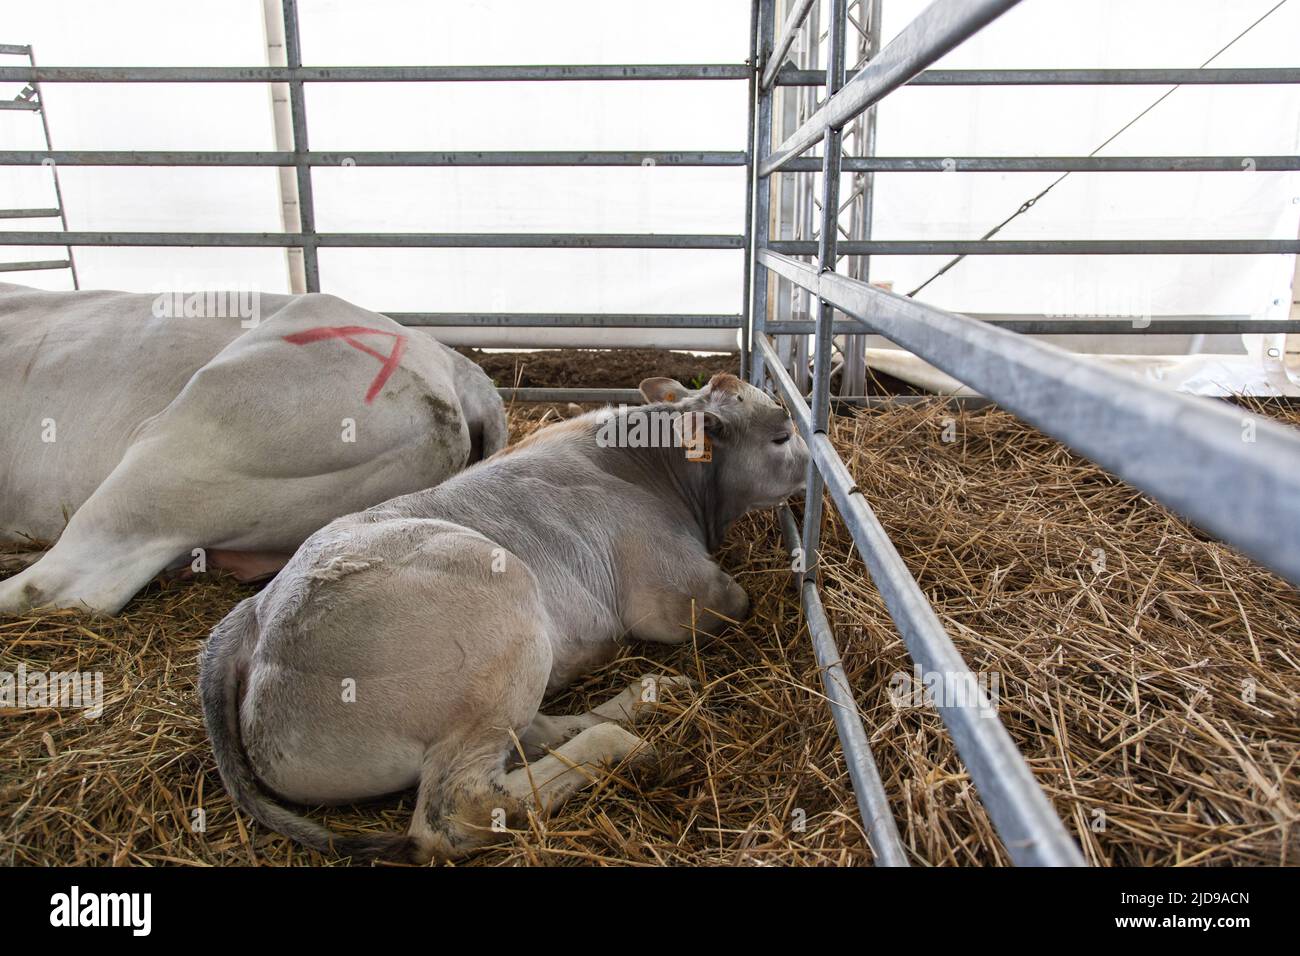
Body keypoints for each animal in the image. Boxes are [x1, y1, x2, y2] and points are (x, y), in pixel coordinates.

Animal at [198, 372, 809, 862]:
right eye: (781, 436)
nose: (814, 457)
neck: (655, 468)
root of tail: (254, 614)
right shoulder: (680, 594)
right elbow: (737, 601)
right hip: (502, 615)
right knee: (460, 809)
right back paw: (619, 743)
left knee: (529, 731)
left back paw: (647, 697)